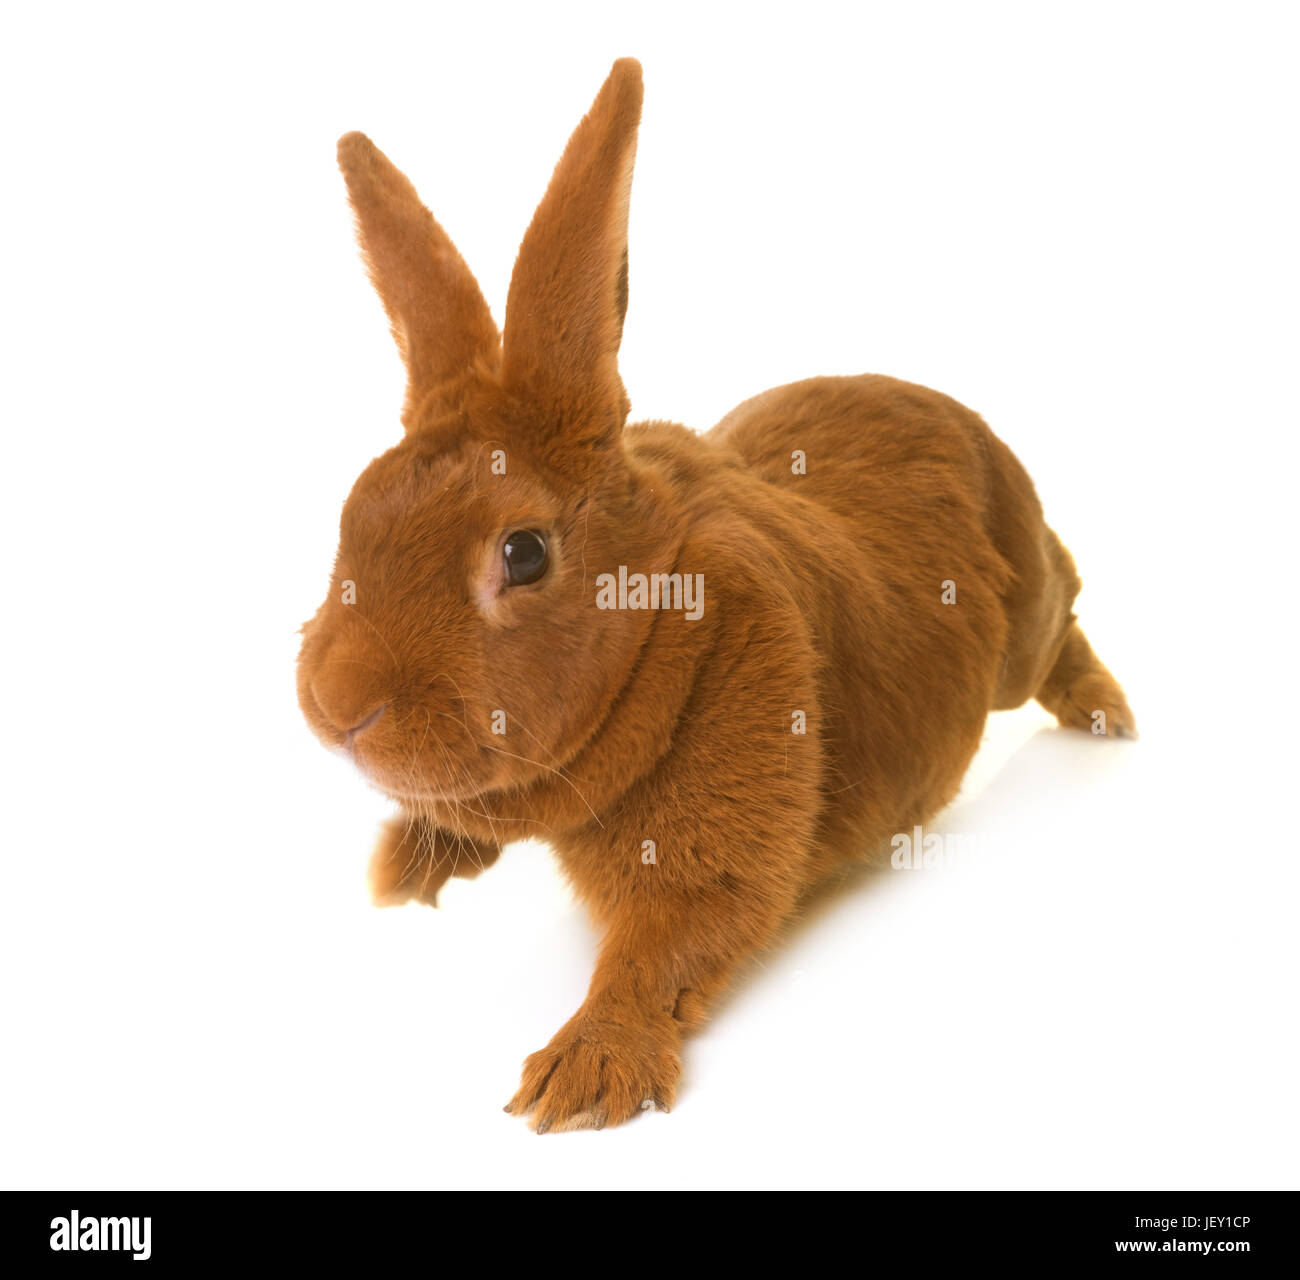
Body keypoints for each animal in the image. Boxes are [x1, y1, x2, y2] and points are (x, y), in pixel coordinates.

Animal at [296, 57, 1136, 1133]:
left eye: (522, 554)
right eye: (354, 505)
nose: (335, 705)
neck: (659, 614)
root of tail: (941, 402)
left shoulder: (722, 822)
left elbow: (669, 942)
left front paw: (583, 1074)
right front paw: (400, 871)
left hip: (1020, 625)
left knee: (1062, 614)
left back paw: (1108, 713)